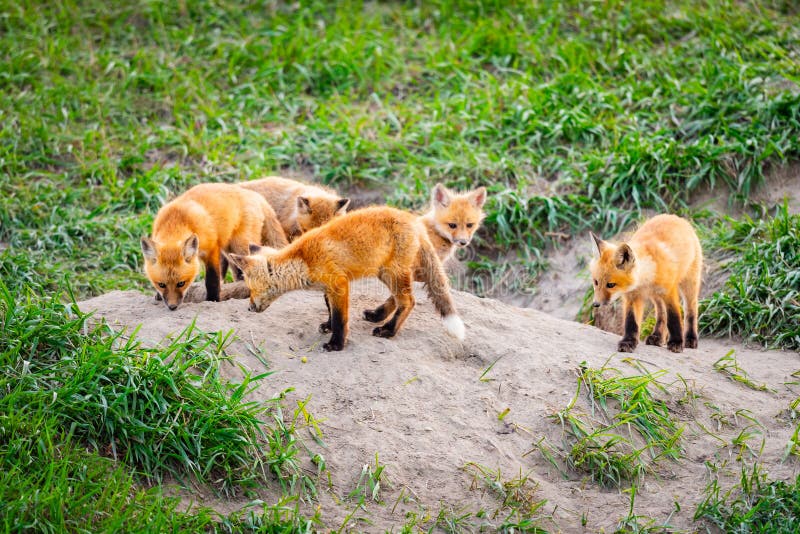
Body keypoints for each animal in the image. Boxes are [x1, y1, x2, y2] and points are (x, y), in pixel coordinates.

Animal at [140, 183, 288, 310]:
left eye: (181, 283)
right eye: (161, 284)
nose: (172, 307)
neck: (176, 221)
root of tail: (256, 195)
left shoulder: (212, 250)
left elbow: (212, 280)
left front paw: (212, 300)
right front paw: (158, 295)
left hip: (240, 245)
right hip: (229, 249)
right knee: (238, 273)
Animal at [227, 206, 465, 351]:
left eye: (252, 289)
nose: (249, 308)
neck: (304, 259)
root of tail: (415, 222)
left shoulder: (339, 284)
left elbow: (341, 319)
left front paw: (336, 344)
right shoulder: (327, 288)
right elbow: (331, 312)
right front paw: (328, 325)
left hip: (393, 273)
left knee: (408, 301)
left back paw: (388, 330)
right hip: (387, 272)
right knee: (400, 298)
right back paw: (377, 315)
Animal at [362, 183, 487, 323]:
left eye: (469, 225)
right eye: (452, 225)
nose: (463, 242)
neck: (435, 234)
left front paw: (378, 316)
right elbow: (395, 299)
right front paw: (380, 315)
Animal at [589, 214, 703, 354]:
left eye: (610, 285)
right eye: (596, 282)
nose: (595, 304)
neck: (645, 281)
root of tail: (676, 217)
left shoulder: (669, 291)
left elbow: (674, 317)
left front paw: (676, 342)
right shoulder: (632, 296)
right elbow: (631, 322)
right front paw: (628, 342)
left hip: (689, 283)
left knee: (691, 310)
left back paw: (690, 338)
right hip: (656, 296)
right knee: (661, 314)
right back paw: (658, 336)